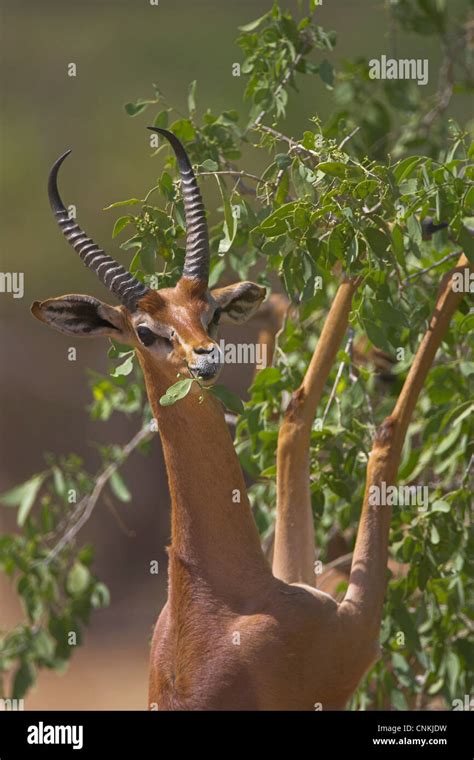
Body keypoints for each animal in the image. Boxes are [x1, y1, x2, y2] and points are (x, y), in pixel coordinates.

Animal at [32, 128, 470, 710]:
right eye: (146, 330)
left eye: (210, 311)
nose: (206, 357)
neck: (219, 593)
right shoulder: (357, 627)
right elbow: (386, 436)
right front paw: (451, 248)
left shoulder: (301, 580)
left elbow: (297, 412)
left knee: (293, 414)